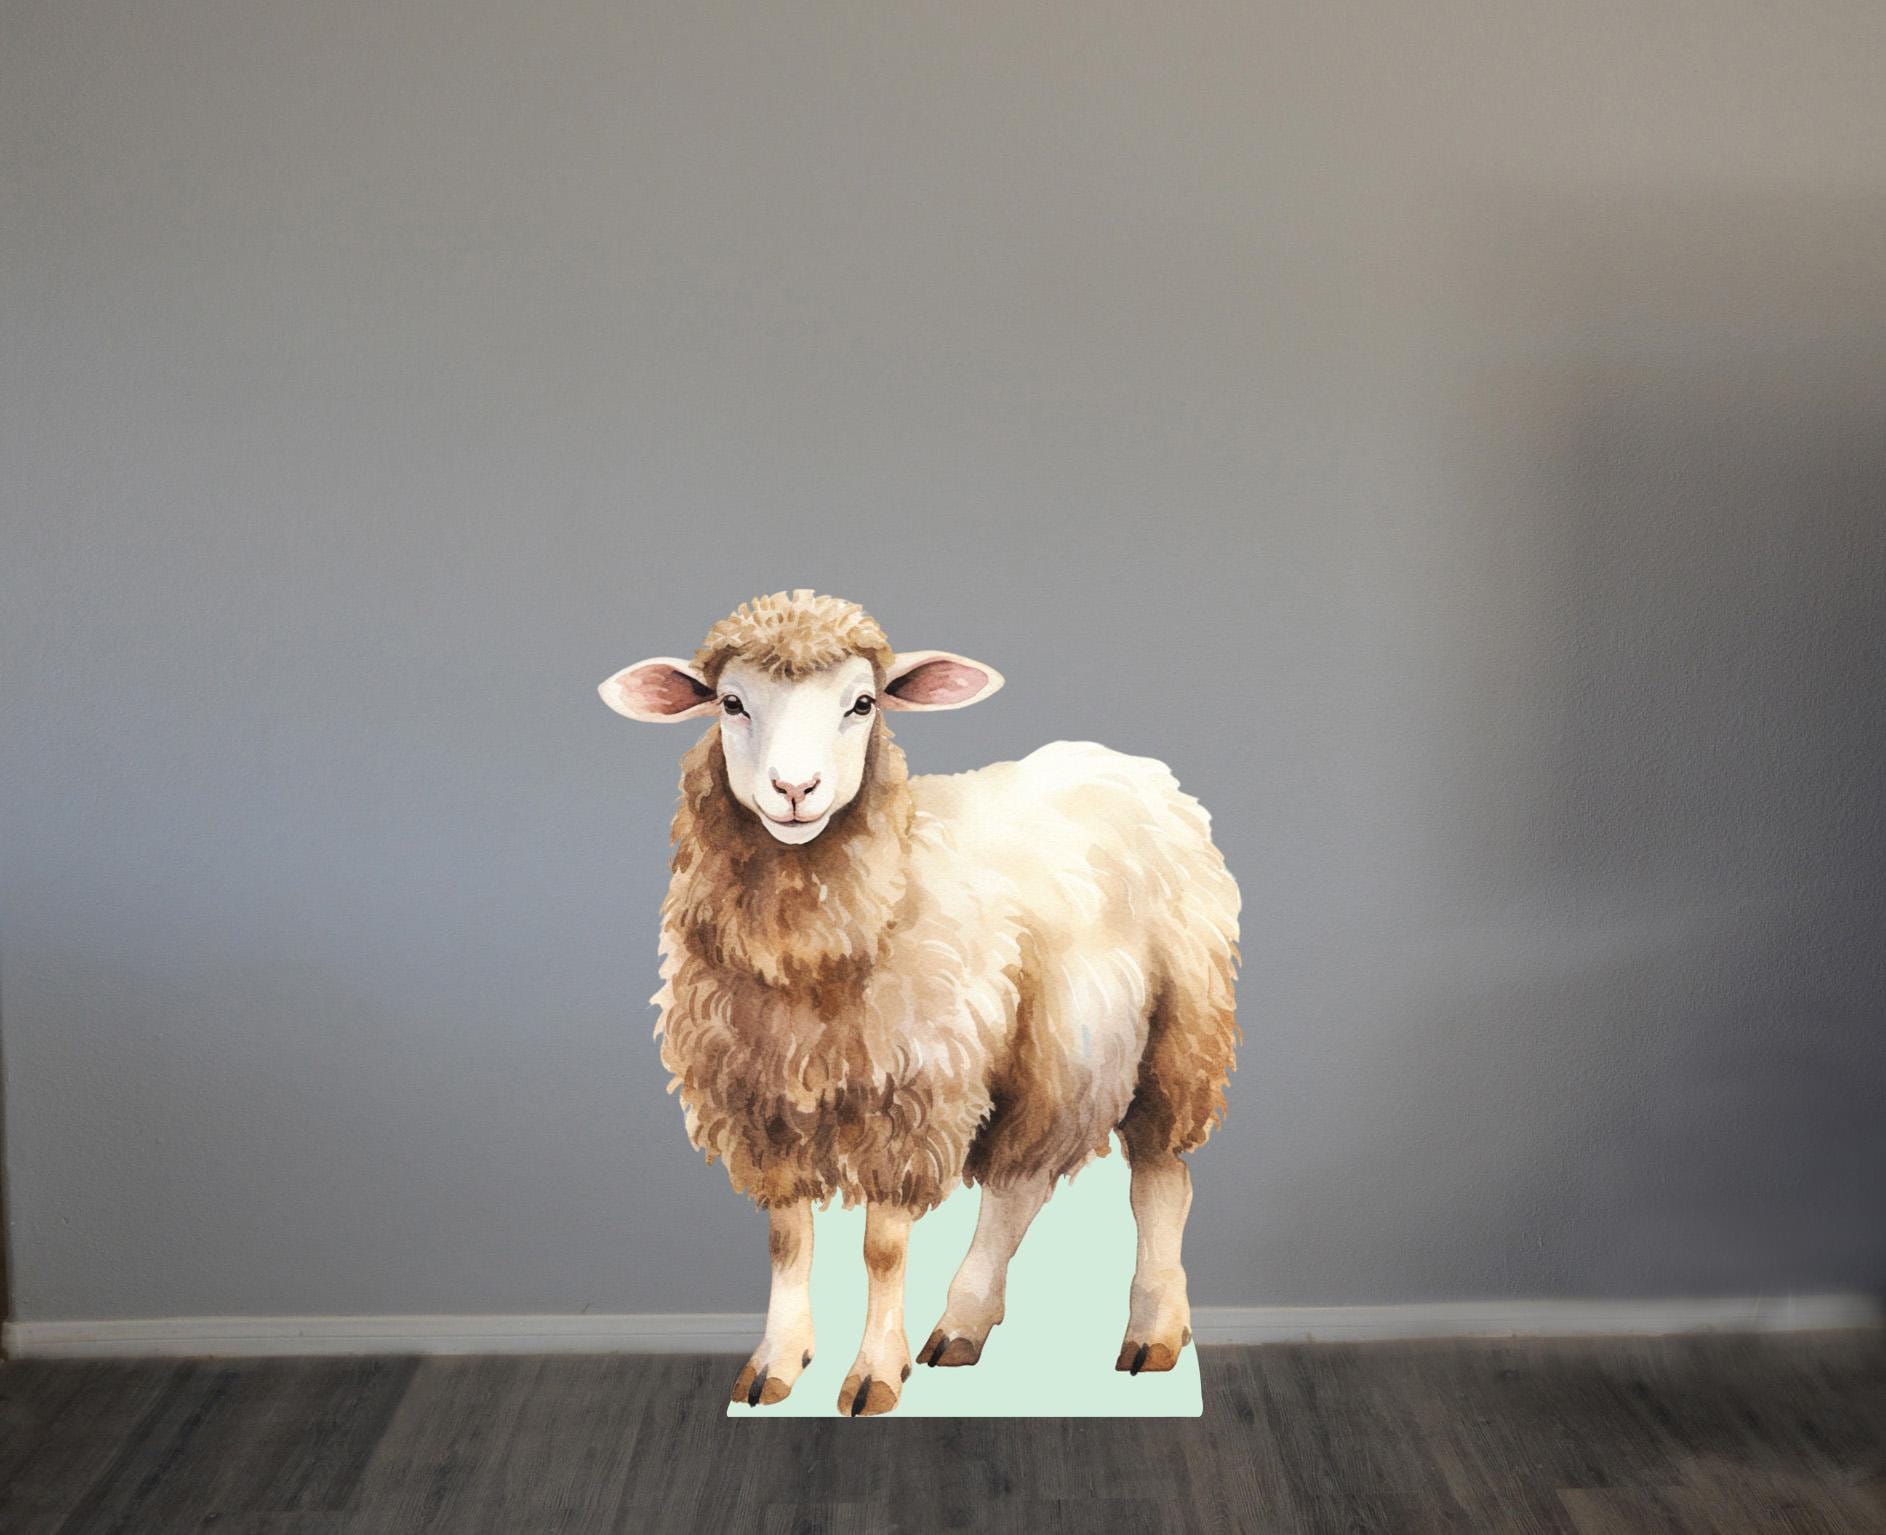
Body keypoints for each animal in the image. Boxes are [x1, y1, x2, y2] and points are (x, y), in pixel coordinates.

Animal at [599, 590, 1240, 1416]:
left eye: (863, 703)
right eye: (731, 703)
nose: (795, 789)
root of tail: (1133, 764)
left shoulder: (909, 1092)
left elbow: (882, 1247)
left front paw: (873, 1372)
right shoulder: (760, 1101)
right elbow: (787, 1239)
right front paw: (776, 1363)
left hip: (1179, 1027)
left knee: (1161, 1179)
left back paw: (1153, 1331)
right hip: (1035, 1045)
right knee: (1018, 1185)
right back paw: (963, 1323)